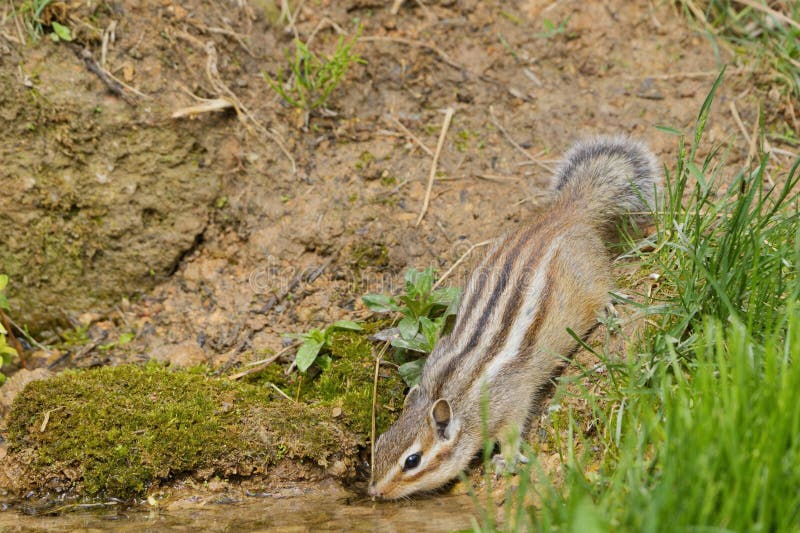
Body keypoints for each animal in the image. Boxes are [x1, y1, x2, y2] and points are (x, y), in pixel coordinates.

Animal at [368, 136, 660, 500]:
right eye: (378, 443)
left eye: (412, 461)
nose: (374, 492)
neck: (455, 393)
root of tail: (568, 210)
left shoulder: (511, 404)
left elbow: (511, 433)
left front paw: (506, 461)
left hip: (590, 277)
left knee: (602, 289)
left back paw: (606, 306)